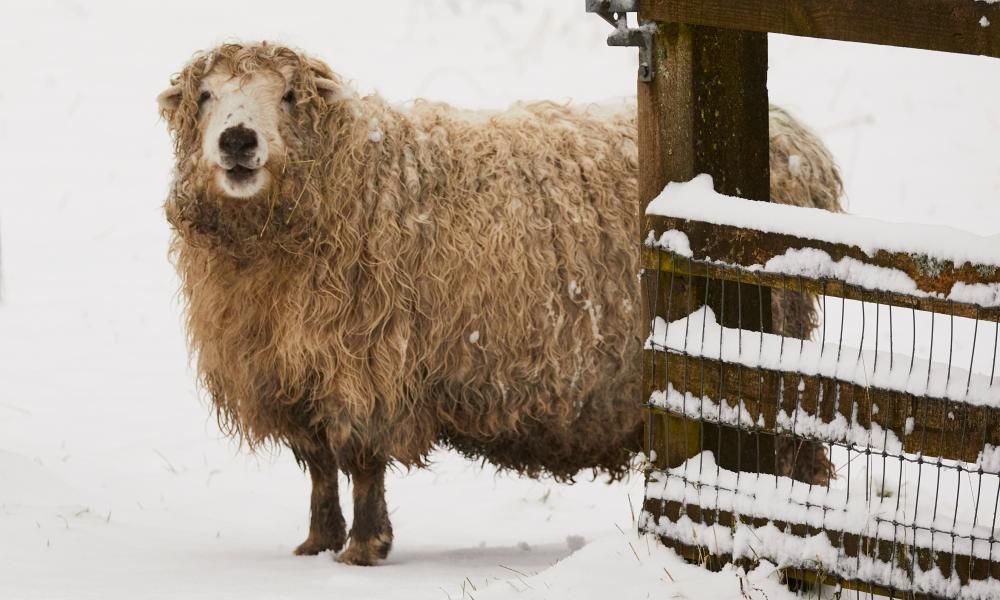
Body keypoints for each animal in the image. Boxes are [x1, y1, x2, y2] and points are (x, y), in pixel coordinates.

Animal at [157, 42, 842, 566]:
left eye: (289, 97)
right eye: (205, 96)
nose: (238, 140)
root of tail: (802, 141)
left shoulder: (367, 364)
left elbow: (361, 461)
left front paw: (363, 549)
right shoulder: (292, 370)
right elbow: (321, 465)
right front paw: (317, 544)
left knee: (797, 455)